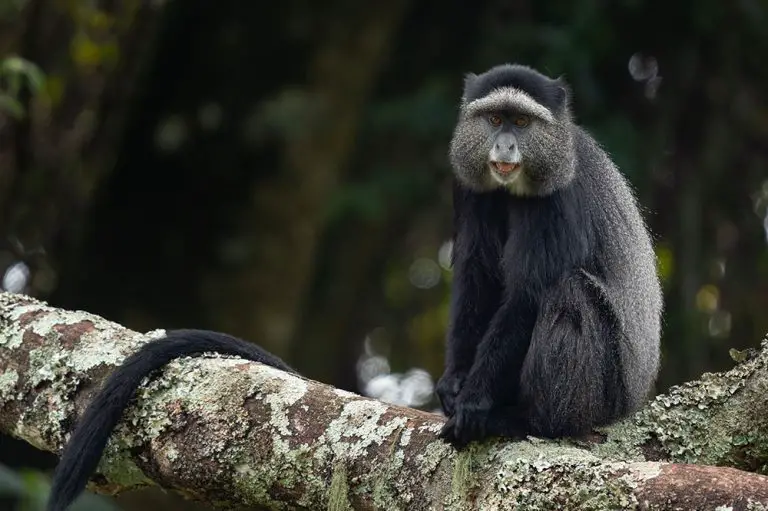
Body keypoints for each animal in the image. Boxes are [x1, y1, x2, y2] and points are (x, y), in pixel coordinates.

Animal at [435, 63, 663, 448]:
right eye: (495, 119)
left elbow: (526, 296)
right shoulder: (469, 190)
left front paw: (473, 401)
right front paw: (453, 382)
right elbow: (476, 277)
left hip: (609, 393)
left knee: (569, 293)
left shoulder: (559, 200)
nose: (506, 145)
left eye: (522, 122)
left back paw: (529, 421)